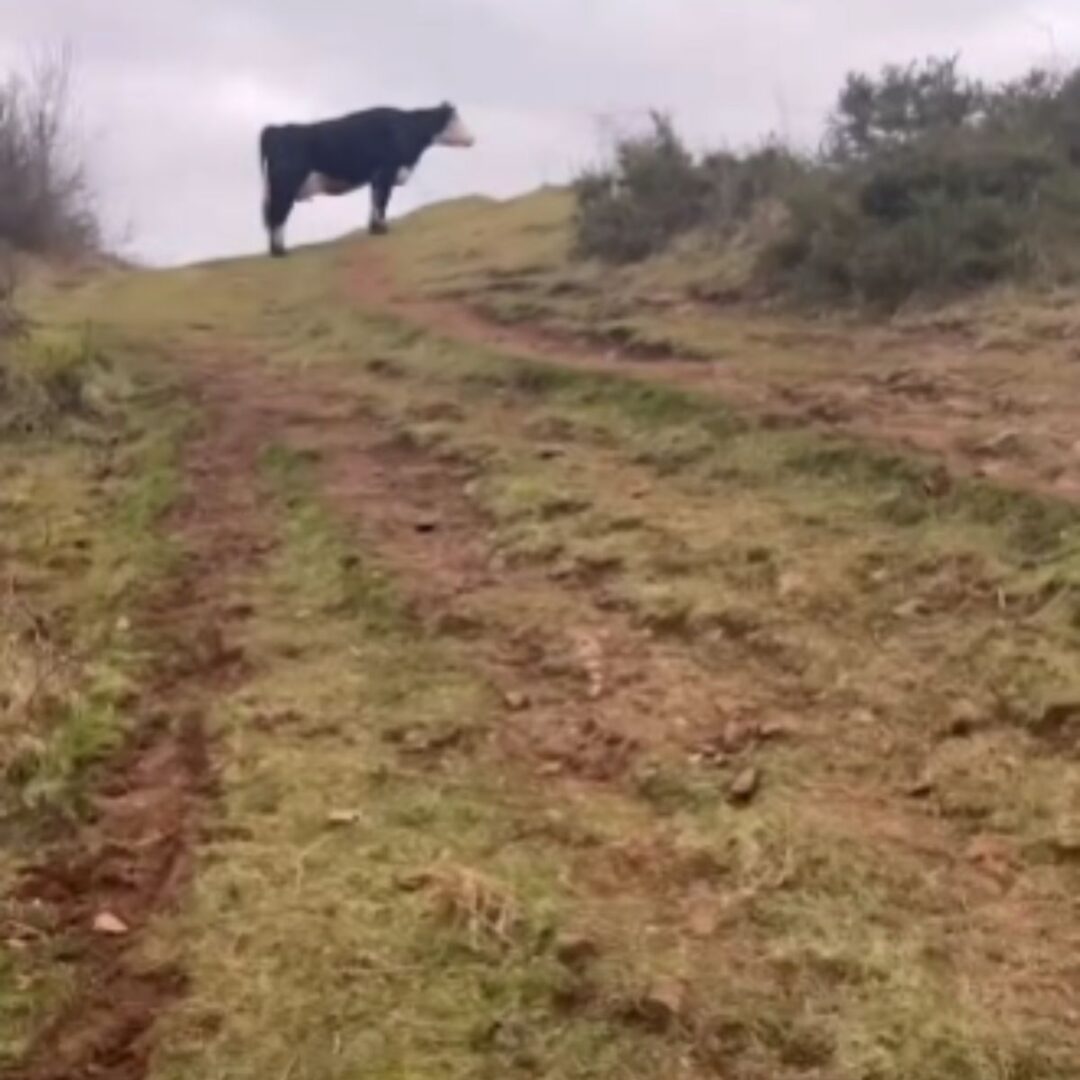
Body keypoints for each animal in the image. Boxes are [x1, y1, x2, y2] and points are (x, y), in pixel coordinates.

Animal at [259, 103, 475, 257]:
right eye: (455, 119)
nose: (472, 139)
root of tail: (276, 129)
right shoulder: (387, 171)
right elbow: (382, 201)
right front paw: (381, 229)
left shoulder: (377, 177)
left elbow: (375, 200)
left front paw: (374, 228)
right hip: (285, 185)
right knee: (278, 216)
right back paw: (280, 252)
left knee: (273, 217)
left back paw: (276, 250)